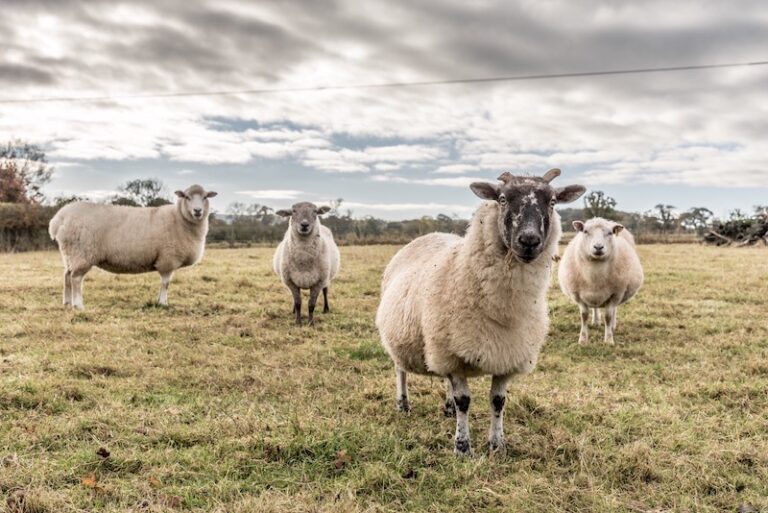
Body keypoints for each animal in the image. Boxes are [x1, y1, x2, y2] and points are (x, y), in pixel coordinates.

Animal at [48, 184, 217, 310]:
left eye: (205, 197)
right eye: (187, 197)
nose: (197, 211)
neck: (179, 218)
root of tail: (58, 219)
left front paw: (160, 301)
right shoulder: (167, 259)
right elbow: (166, 284)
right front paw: (163, 303)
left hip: (70, 254)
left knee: (67, 276)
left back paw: (67, 303)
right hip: (82, 253)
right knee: (76, 278)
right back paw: (78, 305)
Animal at [376, 169, 585, 455]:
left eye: (553, 202)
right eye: (502, 199)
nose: (529, 240)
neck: (503, 309)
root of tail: (431, 234)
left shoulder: (507, 355)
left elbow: (498, 401)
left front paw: (497, 445)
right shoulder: (451, 354)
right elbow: (464, 400)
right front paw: (463, 447)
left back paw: (447, 408)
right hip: (403, 337)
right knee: (400, 371)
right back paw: (403, 404)